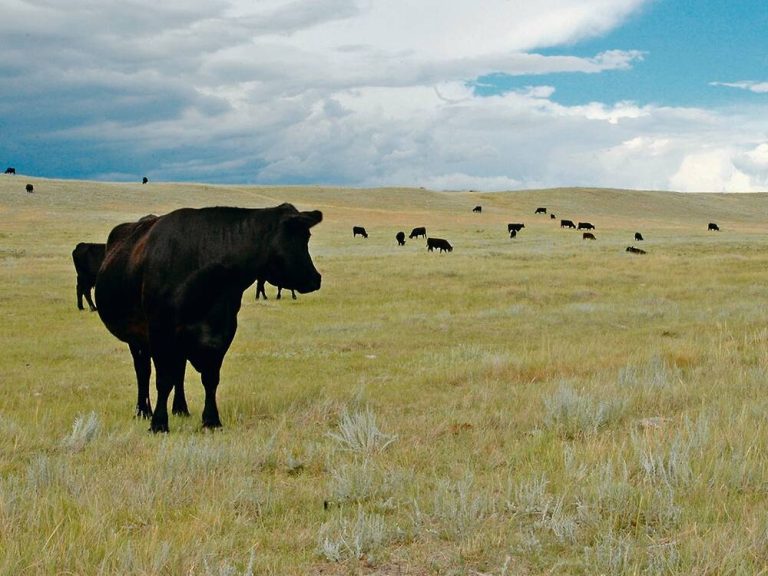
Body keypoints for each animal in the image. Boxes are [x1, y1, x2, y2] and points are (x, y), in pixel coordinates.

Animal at [95, 203, 322, 433]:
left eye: (308, 236)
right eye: (302, 238)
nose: (316, 278)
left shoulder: (223, 330)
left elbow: (210, 377)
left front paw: (211, 420)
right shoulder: (161, 329)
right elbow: (163, 379)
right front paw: (159, 423)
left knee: (178, 371)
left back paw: (181, 409)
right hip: (138, 337)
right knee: (143, 371)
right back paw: (143, 411)